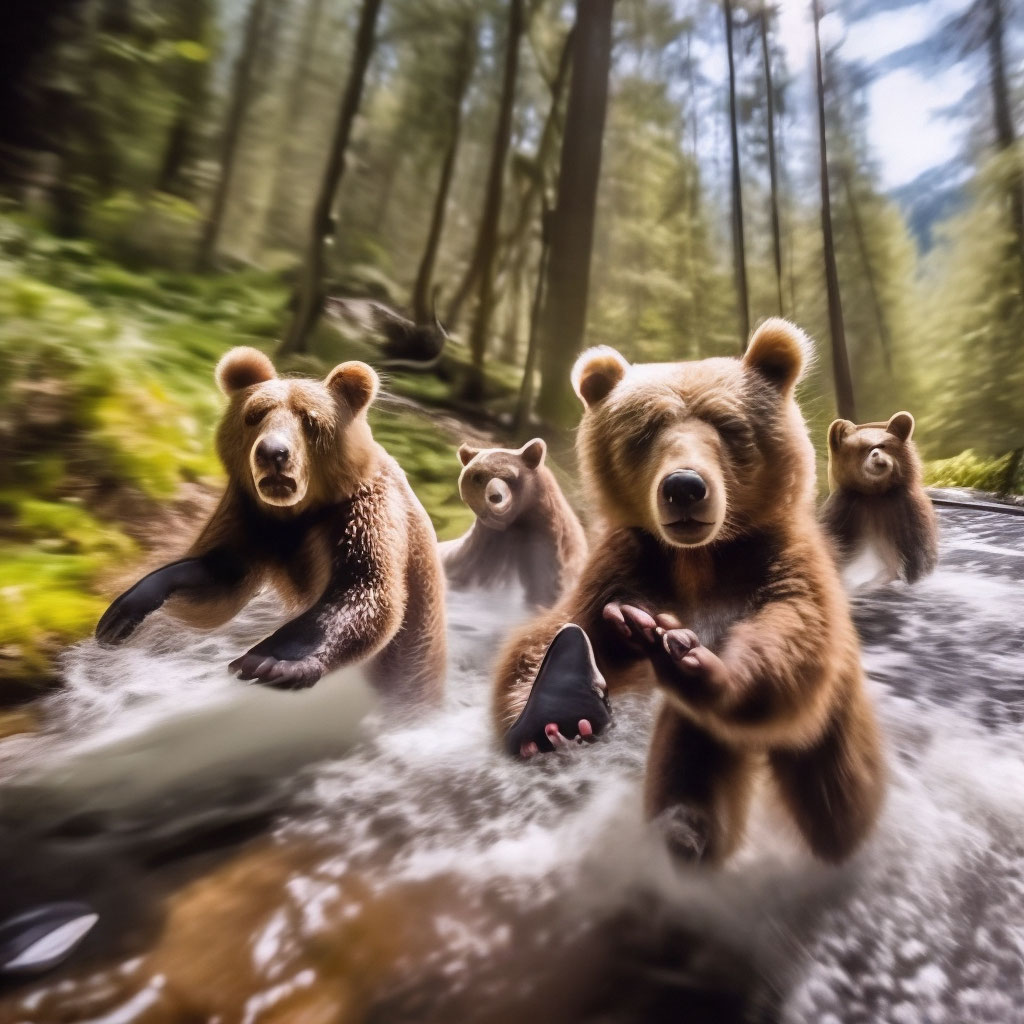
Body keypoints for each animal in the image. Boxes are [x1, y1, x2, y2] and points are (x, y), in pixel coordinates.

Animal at [95, 347, 446, 706]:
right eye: (255, 414)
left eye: (310, 419)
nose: (272, 452)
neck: (296, 512)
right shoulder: (250, 514)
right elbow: (222, 577)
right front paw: (125, 608)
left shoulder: (361, 513)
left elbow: (363, 589)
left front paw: (271, 661)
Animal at [492, 319, 886, 865]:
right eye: (644, 432)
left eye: (728, 426)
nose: (684, 486)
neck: (700, 559)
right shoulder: (627, 565)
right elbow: (560, 631)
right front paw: (546, 718)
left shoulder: (781, 561)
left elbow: (793, 634)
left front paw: (696, 661)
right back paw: (687, 831)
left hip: (835, 718)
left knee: (831, 784)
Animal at [821, 412, 939, 589]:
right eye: (865, 448)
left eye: (882, 445)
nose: (876, 454)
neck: (874, 493)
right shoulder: (846, 511)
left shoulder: (903, 509)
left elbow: (916, 553)